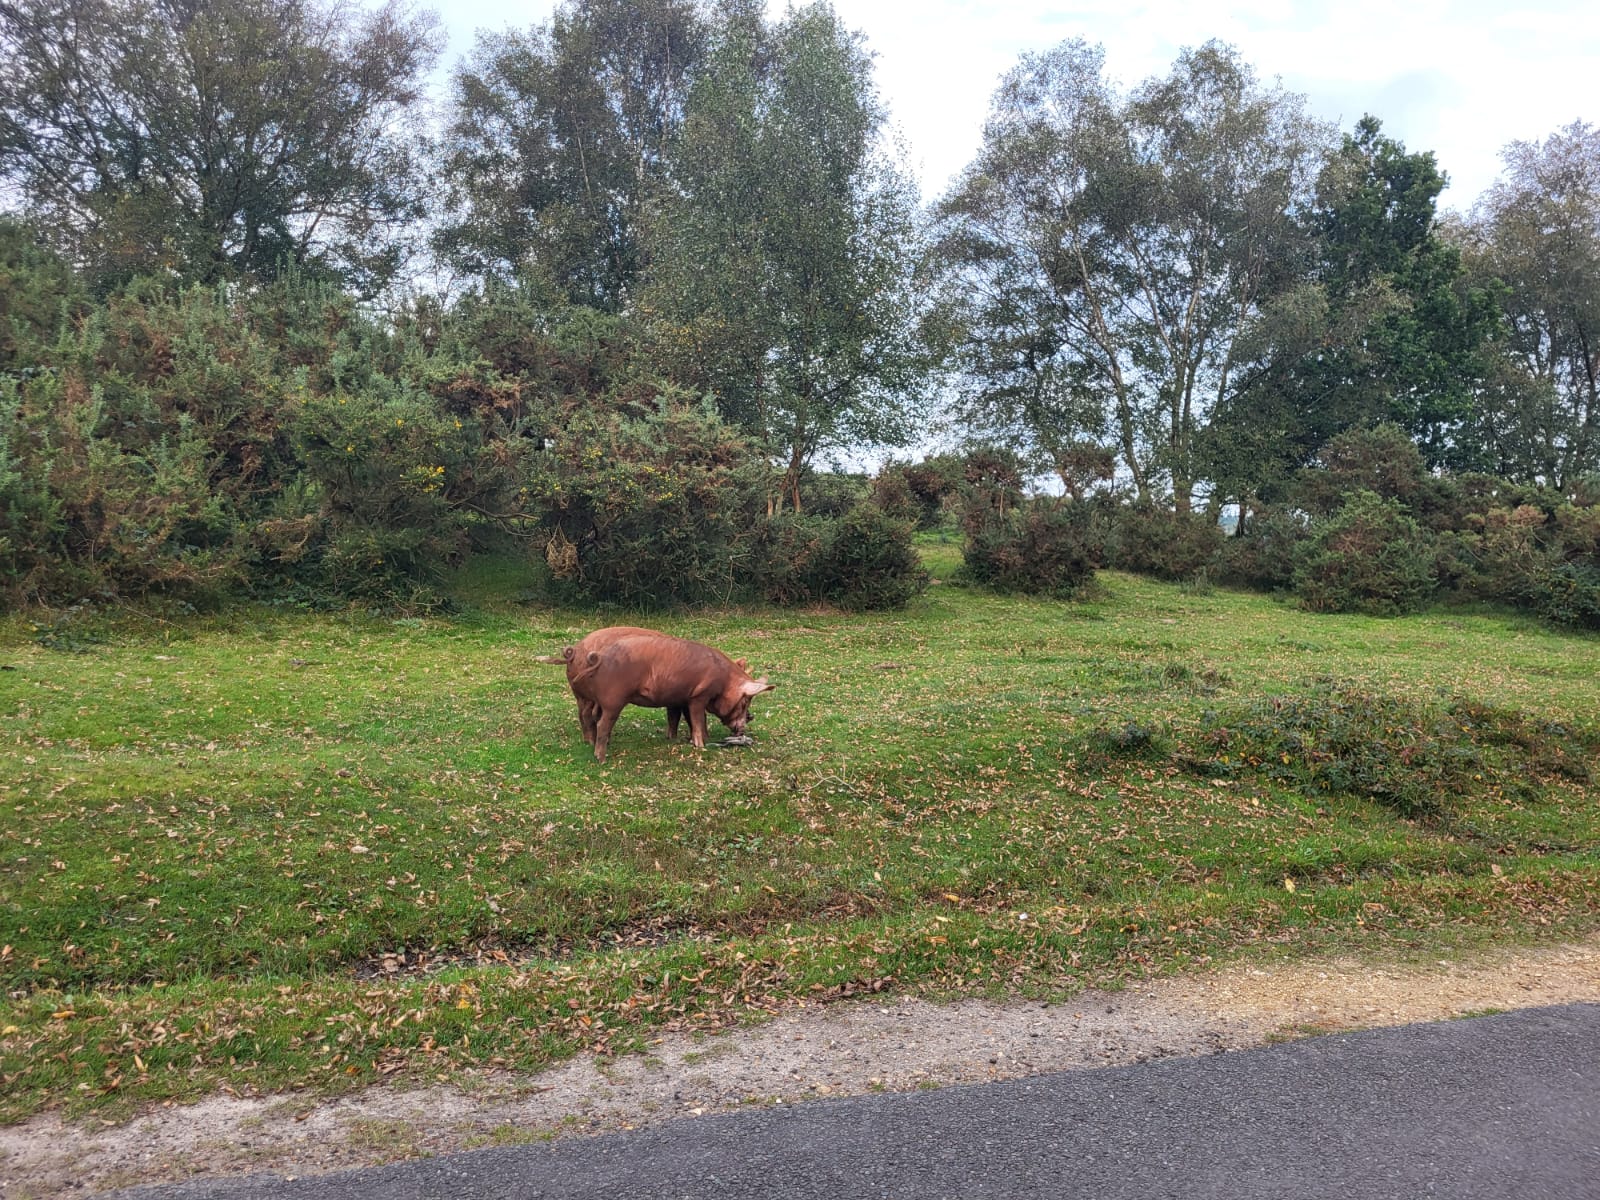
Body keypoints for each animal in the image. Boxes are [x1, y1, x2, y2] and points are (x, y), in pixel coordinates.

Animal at [566, 632, 774, 763]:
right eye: (745, 701)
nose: (750, 718)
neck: (723, 681)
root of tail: (601, 656)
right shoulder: (699, 695)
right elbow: (698, 719)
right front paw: (701, 746)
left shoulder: (682, 699)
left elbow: (680, 718)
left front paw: (677, 739)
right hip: (613, 701)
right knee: (602, 723)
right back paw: (601, 759)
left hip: (601, 702)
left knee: (594, 718)